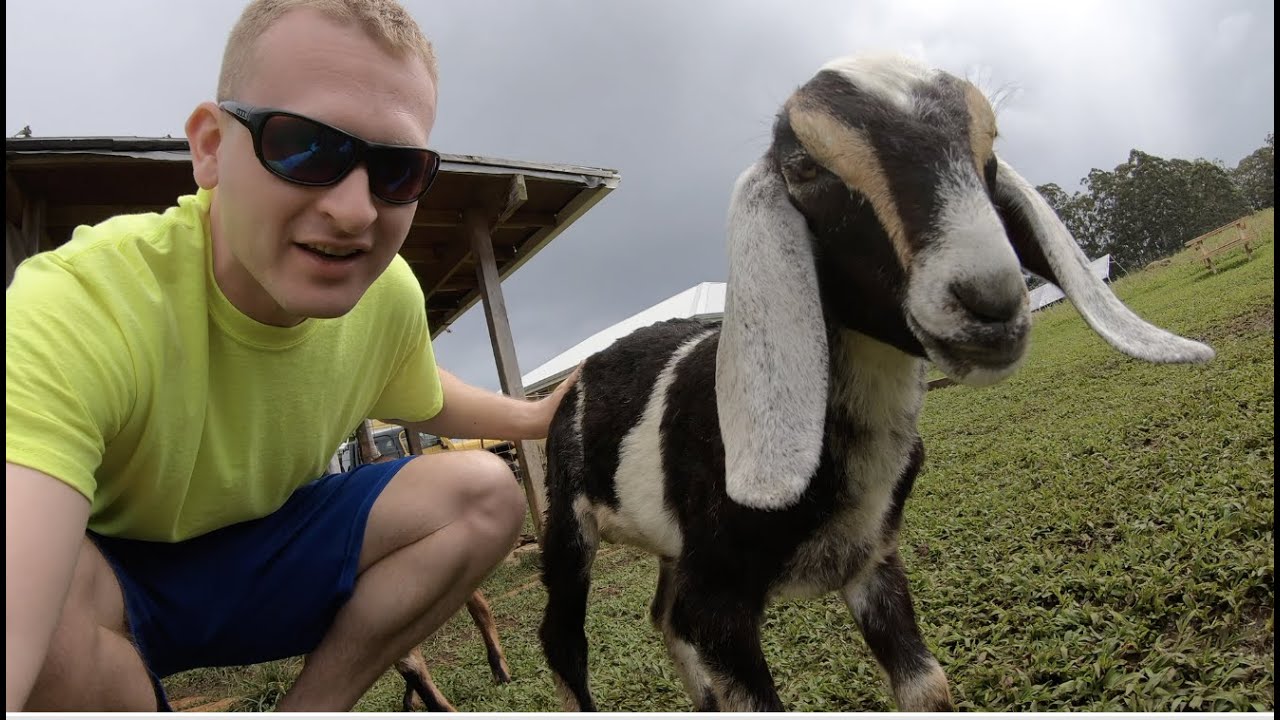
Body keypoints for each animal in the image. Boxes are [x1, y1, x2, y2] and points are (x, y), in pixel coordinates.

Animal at [535, 54, 1214, 713]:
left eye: (989, 150)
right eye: (804, 166)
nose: (990, 301)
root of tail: (579, 378)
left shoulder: (873, 557)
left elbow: (926, 686)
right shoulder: (719, 603)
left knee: (662, 618)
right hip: (569, 524)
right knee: (563, 639)